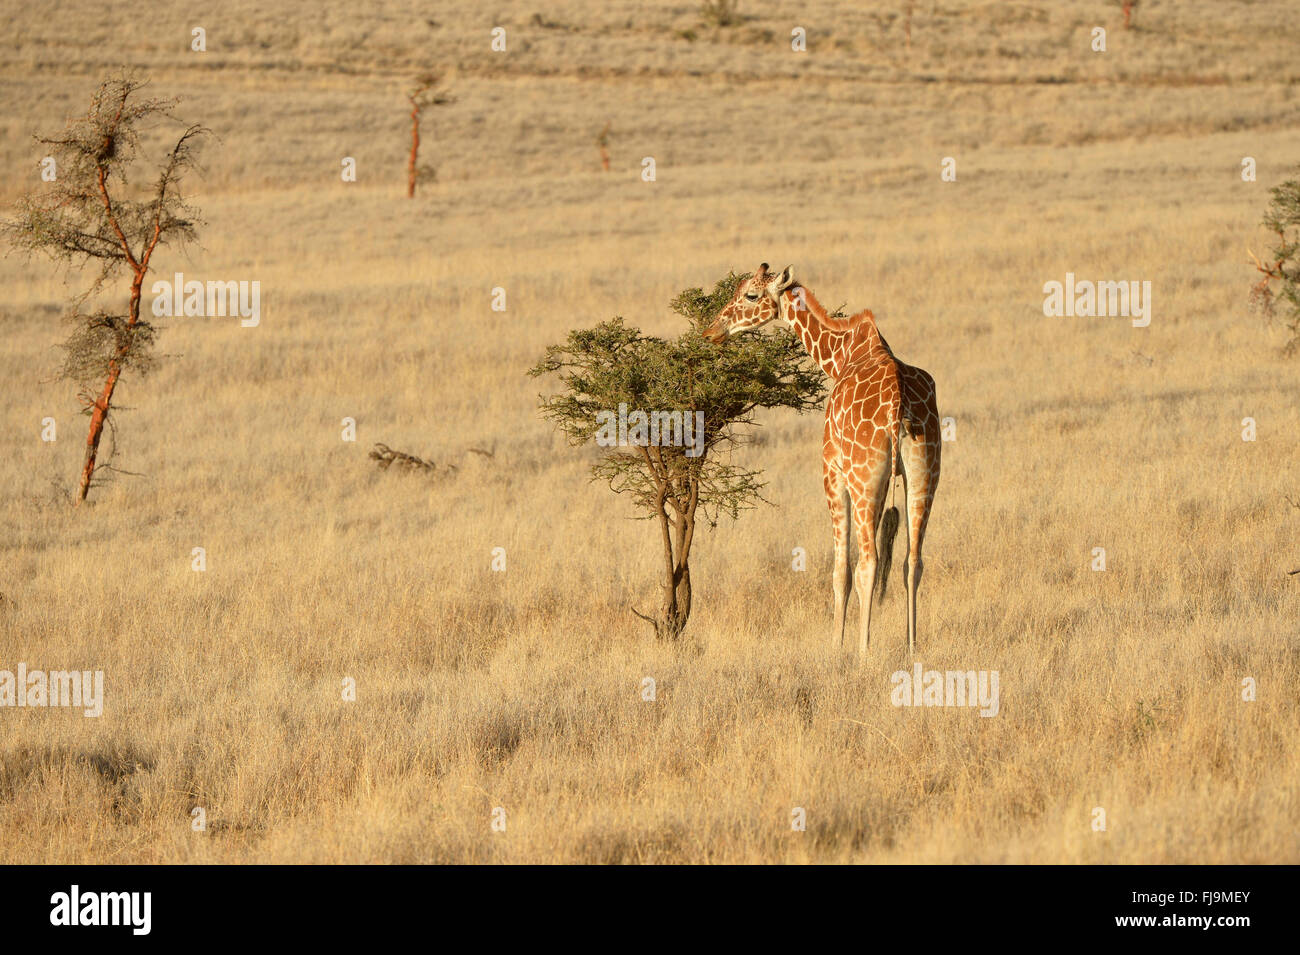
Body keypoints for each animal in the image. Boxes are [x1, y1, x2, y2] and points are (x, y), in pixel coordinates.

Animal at [703, 264, 941, 657]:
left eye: (751, 295)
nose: (711, 332)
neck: (842, 353)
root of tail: (898, 406)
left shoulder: (833, 473)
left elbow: (840, 571)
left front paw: (835, 646)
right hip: (924, 474)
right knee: (913, 560)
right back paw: (912, 647)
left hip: (863, 480)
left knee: (869, 562)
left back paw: (863, 653)